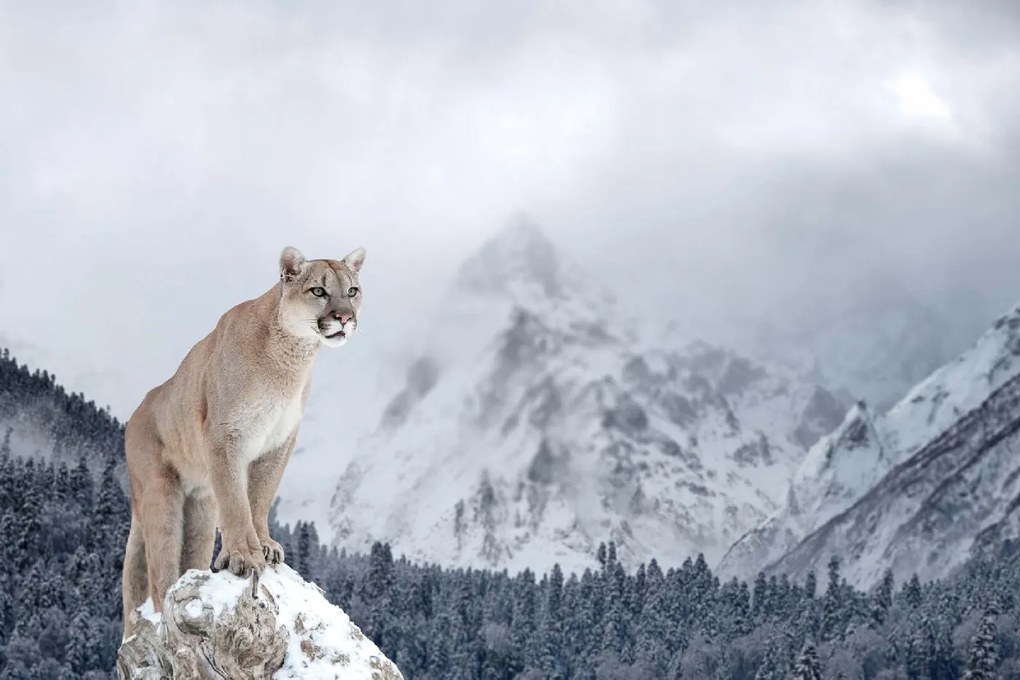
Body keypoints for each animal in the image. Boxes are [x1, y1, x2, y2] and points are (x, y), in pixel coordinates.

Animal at [120, 247, 365, 640]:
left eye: (352, 290)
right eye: (319, 291)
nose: (344, 316)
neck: (290, 359)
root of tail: (135, 413)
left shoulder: (279, 442)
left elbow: (260, 496)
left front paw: (264, 545)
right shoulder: (226, 435)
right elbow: (236, 501)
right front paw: (243, 556)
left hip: (201, 507)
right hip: (161, 494)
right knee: (158, 575)